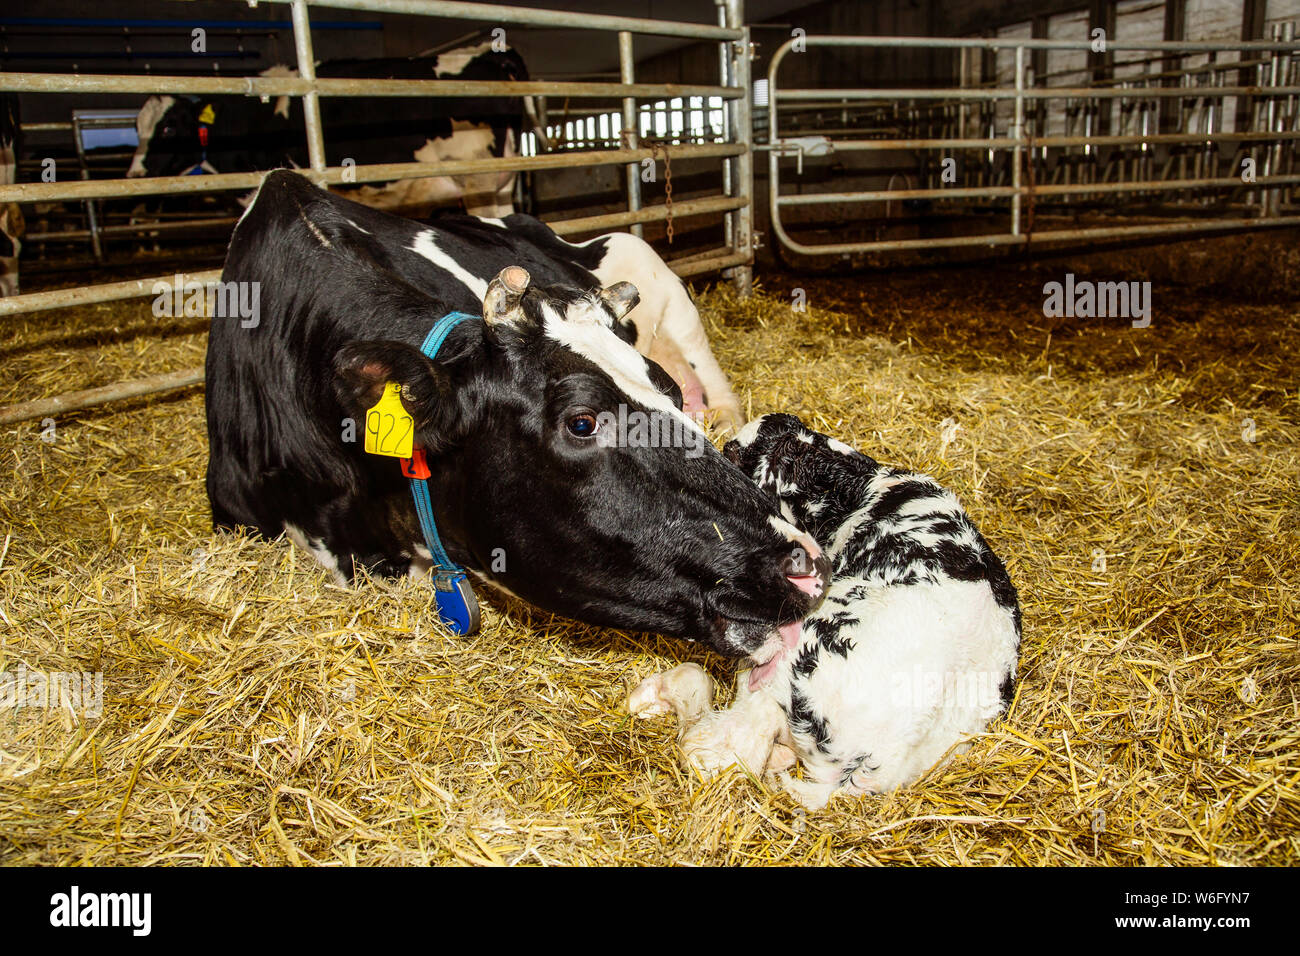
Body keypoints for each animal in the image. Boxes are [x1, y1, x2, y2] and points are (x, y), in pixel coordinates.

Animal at [128, 43, 529, 217]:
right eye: (135, 127)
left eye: (168, 129)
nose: (133, 176)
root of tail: (491, 53)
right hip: (500, 182)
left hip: (477, 180)